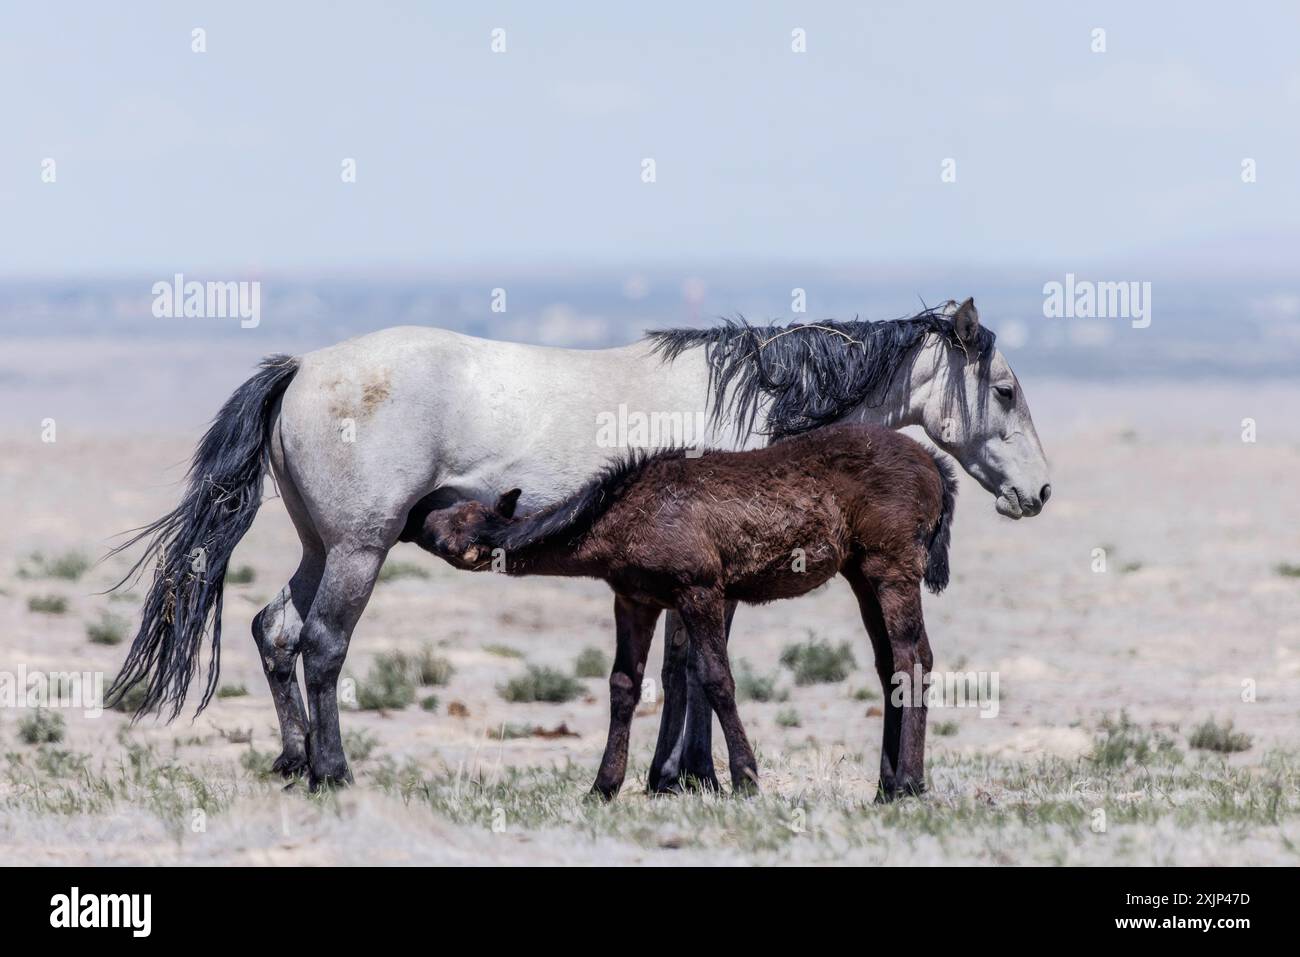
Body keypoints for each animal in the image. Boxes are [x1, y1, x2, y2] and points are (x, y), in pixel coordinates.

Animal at [415, 422, 958, 800]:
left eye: (453, 527)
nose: (421, 518)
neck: (618, 516)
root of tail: (936, 466)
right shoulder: (634, 599)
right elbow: (624, 685)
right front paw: (603, 786)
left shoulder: (701, 590)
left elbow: (716, 677)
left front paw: (745, 778)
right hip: (860, 574)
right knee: (891, 664)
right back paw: (886, 785)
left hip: (893, 567)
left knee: (913, 658)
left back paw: (907, 784)